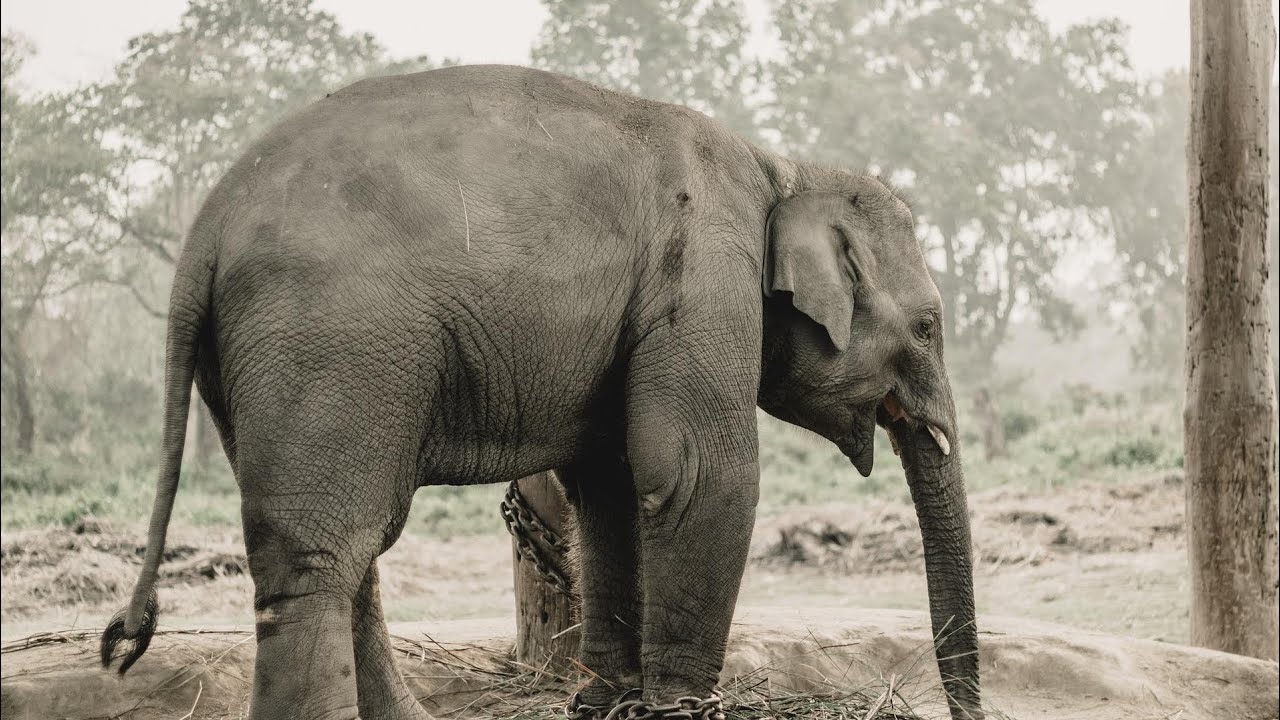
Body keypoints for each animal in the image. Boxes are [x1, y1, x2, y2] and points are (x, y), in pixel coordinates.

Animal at [100, 64, 982, 720]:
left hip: (264, 364)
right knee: (321, 555)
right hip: (331, 342)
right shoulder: (703, 276)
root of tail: (206, 227)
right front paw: (681, 706)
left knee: (350, 549)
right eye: (929, 326)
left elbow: (611, 485)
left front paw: (610, 704)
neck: (784, 167)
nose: (966, 710)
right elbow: (696, 474)